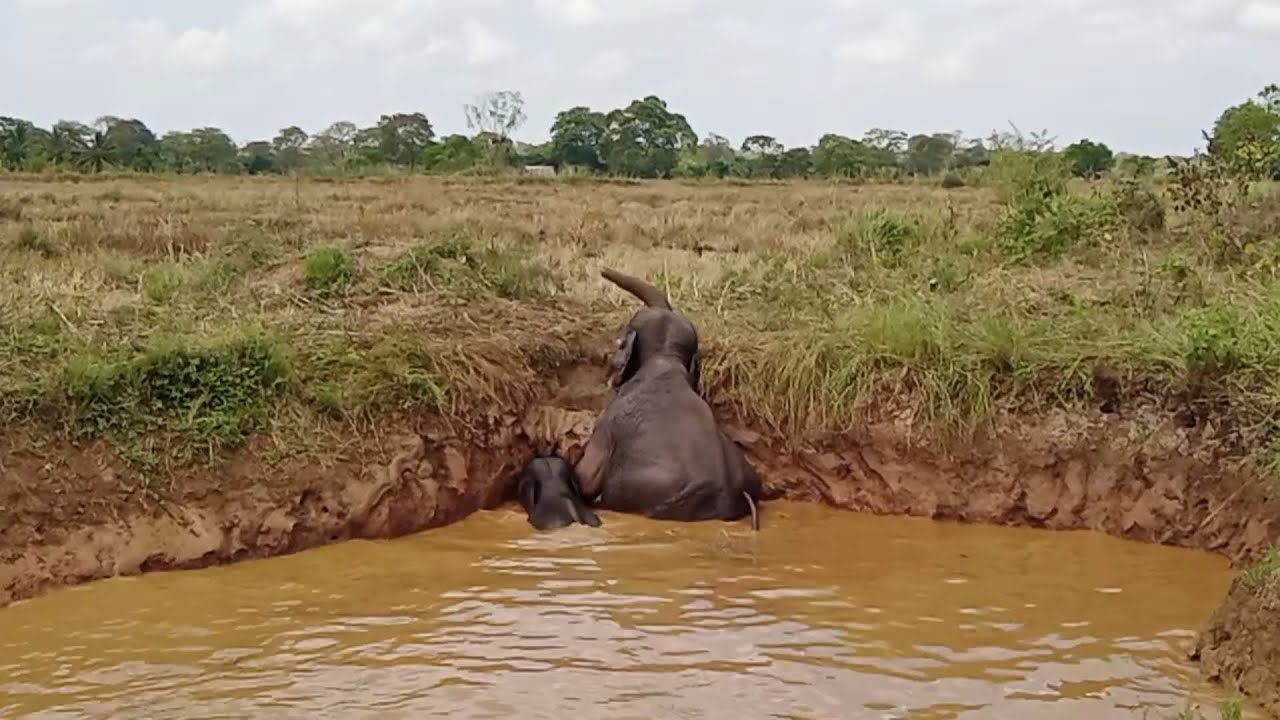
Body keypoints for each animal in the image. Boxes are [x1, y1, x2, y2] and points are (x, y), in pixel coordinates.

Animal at [574, 268, 762, 531]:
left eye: (620, 341)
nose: (602, 269)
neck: (665, 358)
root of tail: (729, 495)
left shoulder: (607, 425)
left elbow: (585, 478)